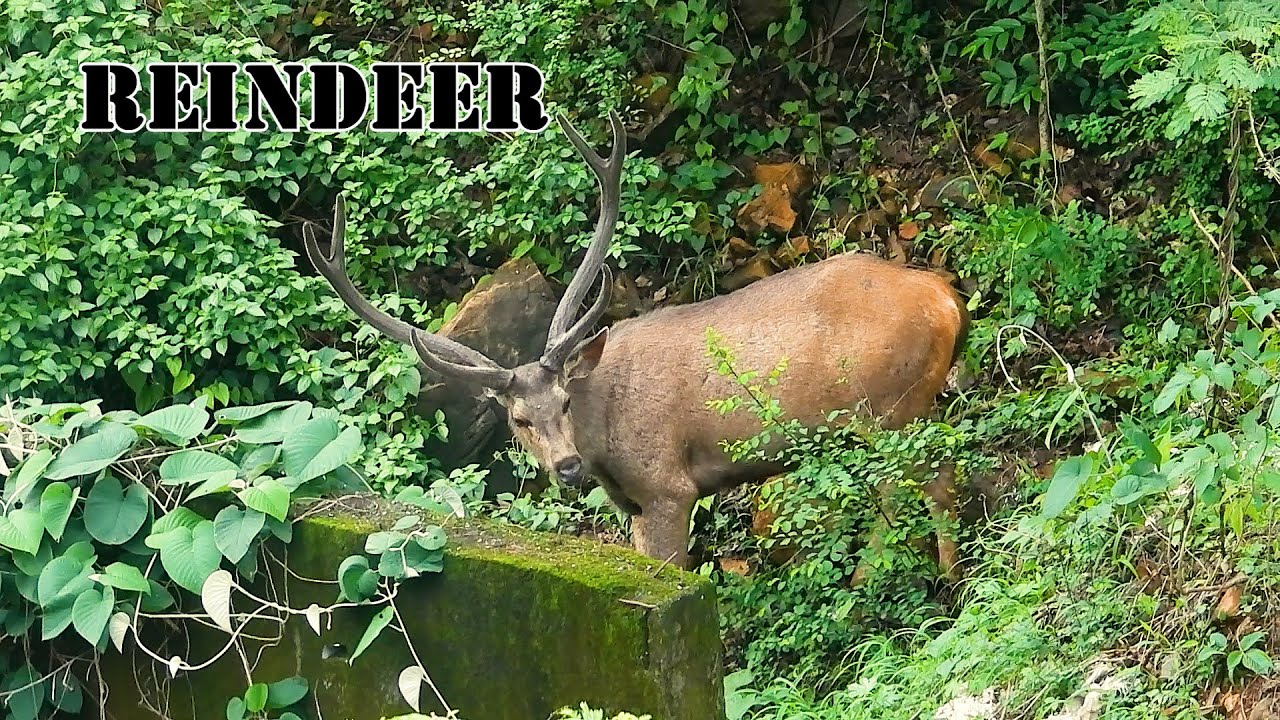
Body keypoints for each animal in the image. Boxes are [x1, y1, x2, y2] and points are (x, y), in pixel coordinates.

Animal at [303, 110, 970, 572]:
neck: (605, 440)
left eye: (565, 402)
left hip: (887, 410)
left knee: (927, 487)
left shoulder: (666, 485)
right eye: (518, 419)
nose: (568, 467)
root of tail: (947, 302)